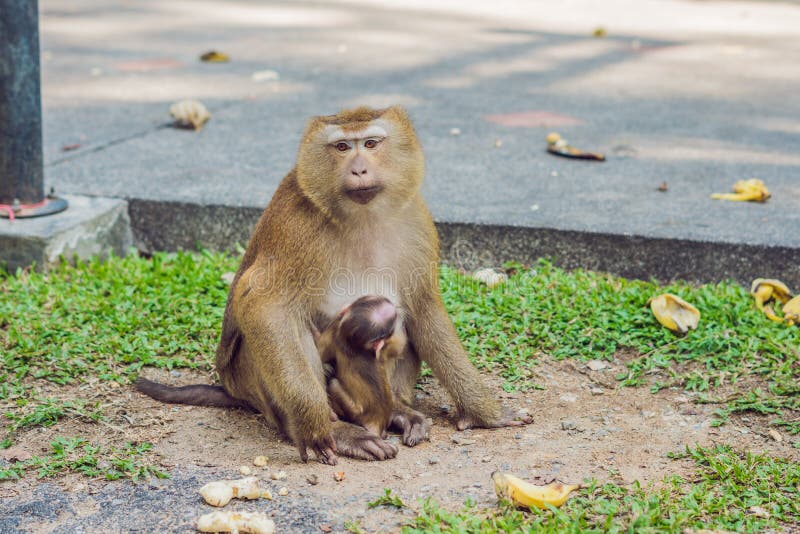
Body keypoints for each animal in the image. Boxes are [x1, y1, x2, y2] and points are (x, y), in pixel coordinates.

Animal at [135, 105, 531, 465]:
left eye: (370, 143)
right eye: (342, 147)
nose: (358, 168)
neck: (363, 216)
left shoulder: (416, 220)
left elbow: (422, 306)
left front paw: (486, 413)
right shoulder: (296, 226)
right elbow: (264, 304)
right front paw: (314, 425)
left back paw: (399, 412)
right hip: (251, 381)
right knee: (288, 329)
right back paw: (341, 431)